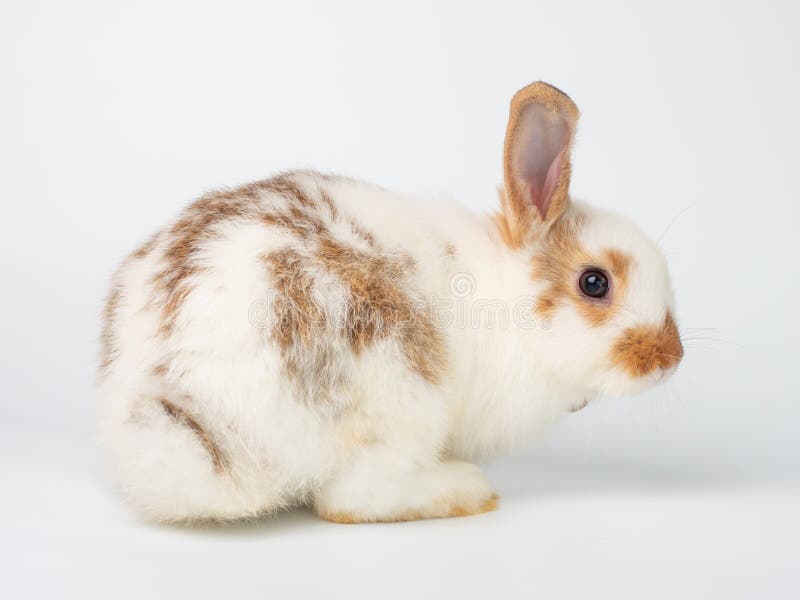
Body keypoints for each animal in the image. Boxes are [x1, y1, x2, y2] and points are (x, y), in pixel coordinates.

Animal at [97, 81, 683, 523]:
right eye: (594, 283)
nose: (670, 358)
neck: (504, 295)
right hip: (400, 394)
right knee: (349, 500)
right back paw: (465, 490)